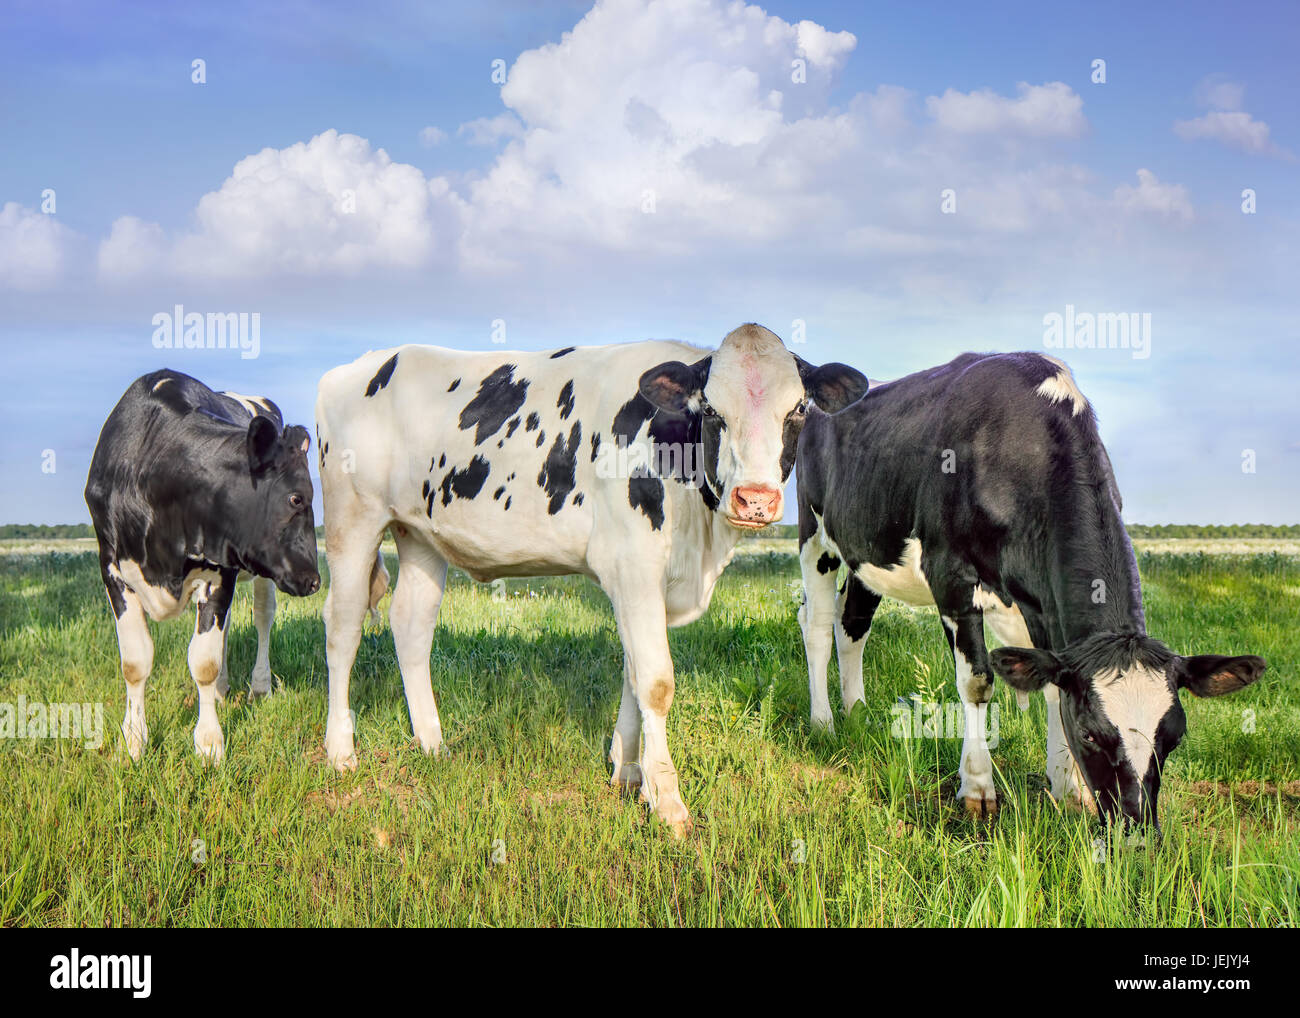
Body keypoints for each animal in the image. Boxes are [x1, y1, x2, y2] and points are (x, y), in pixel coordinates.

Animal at [85, 369, 321, 763]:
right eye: (296, 498)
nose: (314, 580)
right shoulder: (113, 571)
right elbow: (135, 662)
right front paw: (133, 742)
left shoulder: (220, 572)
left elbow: (204, 662)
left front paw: (209, 743)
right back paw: (224, 692)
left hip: (264, 576)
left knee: (262, 618)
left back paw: (258, 687)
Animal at [315, 324, 868, 835]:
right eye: (712, 411)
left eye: (798, 409)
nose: (756, 500)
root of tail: (360, 364)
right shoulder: (633, 563)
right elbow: (656, 680)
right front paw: (667, 802)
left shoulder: (641, 582)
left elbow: (632, 671)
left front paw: (628, 772)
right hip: (352, 522)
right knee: (342, 630)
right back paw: (341, 751)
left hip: (420, 535)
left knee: (411, 626)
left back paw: (432, 743)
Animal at [796, 351, 1267, 832]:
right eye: (1090, 734)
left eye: (1173, 737)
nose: (1135, 831)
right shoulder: (950, 574)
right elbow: (977, 682)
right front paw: (978, 791)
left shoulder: (1043, 605)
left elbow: (1054, 687)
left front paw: (1068, 791)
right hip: (815, 534)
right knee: (816, 625)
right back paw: (824, 723)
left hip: (867, 553)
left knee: (852, 624)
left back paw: (857, 715)